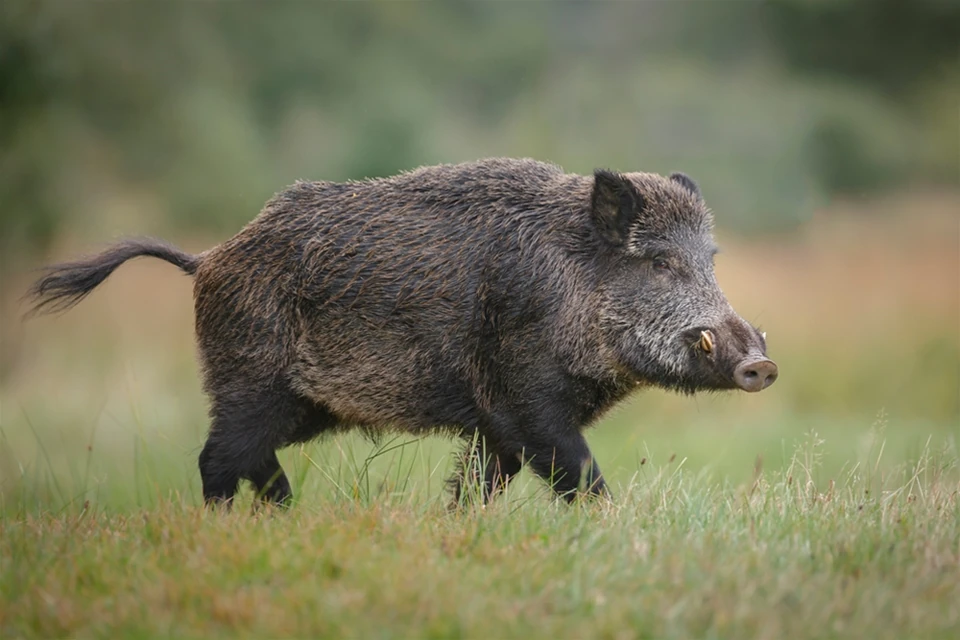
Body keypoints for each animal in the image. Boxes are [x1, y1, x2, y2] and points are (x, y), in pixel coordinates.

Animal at [26, 158, 777, 507]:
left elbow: (480, 485)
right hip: (249, 380)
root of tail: (207, 259)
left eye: (710, 260)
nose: (761, 365)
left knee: (251, 459)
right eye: (658, 261)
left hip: (300, 404)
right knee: (218, 458)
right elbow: (578, 474)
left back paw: (287, 516)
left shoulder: (496, 424)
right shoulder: (526, 399)